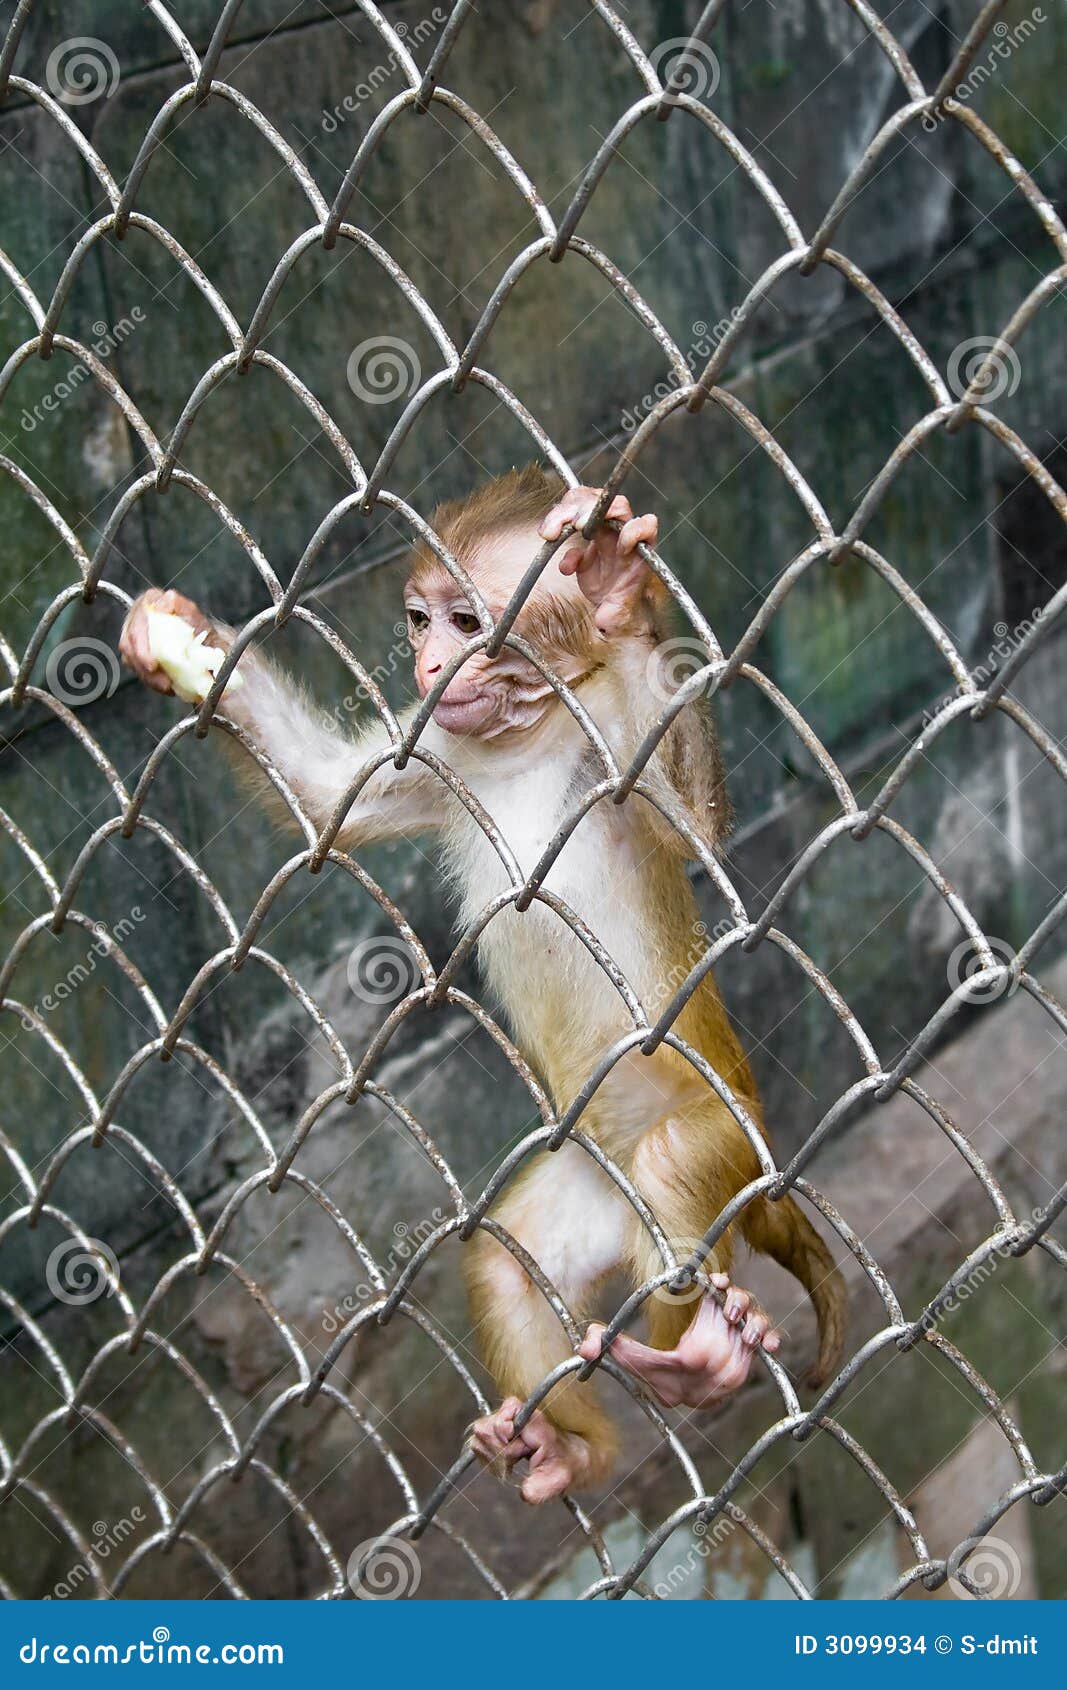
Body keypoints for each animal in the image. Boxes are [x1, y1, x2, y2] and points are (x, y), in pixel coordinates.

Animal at [119, 464, 846, 1504]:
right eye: (419, 619)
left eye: (467, 623)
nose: (428, 667)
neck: (526, 747)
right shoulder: (440, 757)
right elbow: (323, 798)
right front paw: (169, 633)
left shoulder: (599, 756)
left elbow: (690, 825)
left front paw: (618, 594)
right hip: (589, 1189)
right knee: (509, 1268)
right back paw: (575, 1448)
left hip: (727, 1141)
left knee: (676, 1165)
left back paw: (700, 1365)